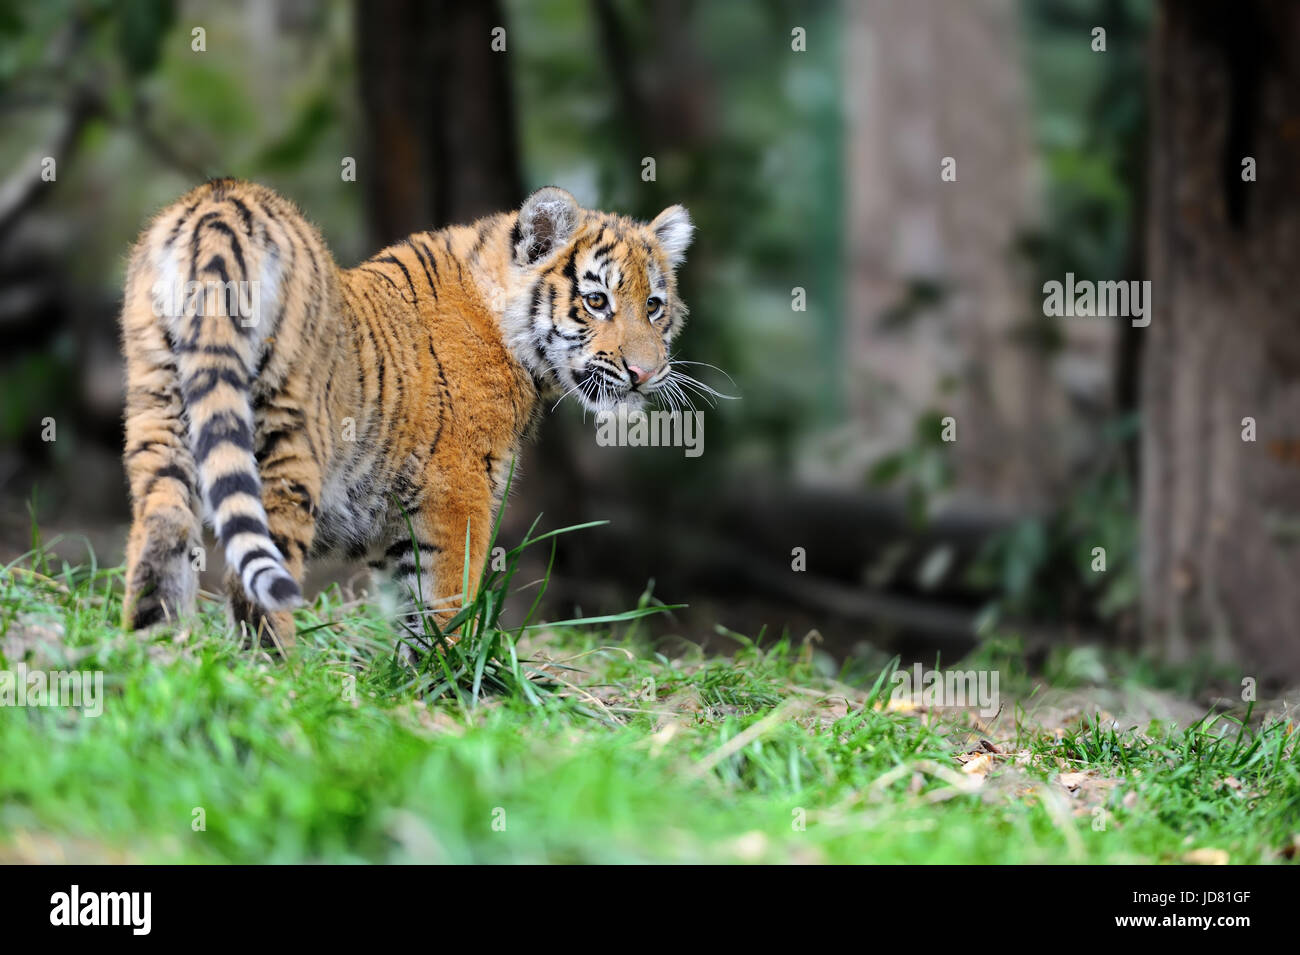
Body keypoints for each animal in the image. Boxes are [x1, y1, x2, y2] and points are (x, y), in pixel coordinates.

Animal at [119, 177, 694, 654]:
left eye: (654, 306)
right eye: (596, 301)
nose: (645, 372)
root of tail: (220, 204)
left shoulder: (393, 522)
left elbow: (409, 604)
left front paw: (410, 678)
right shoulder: (459, 491)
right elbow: (448, 598)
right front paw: (454, 681)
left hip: (159, 409)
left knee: (160, 531)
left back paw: (154, 648)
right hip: (287, 439)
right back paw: (276, 669)